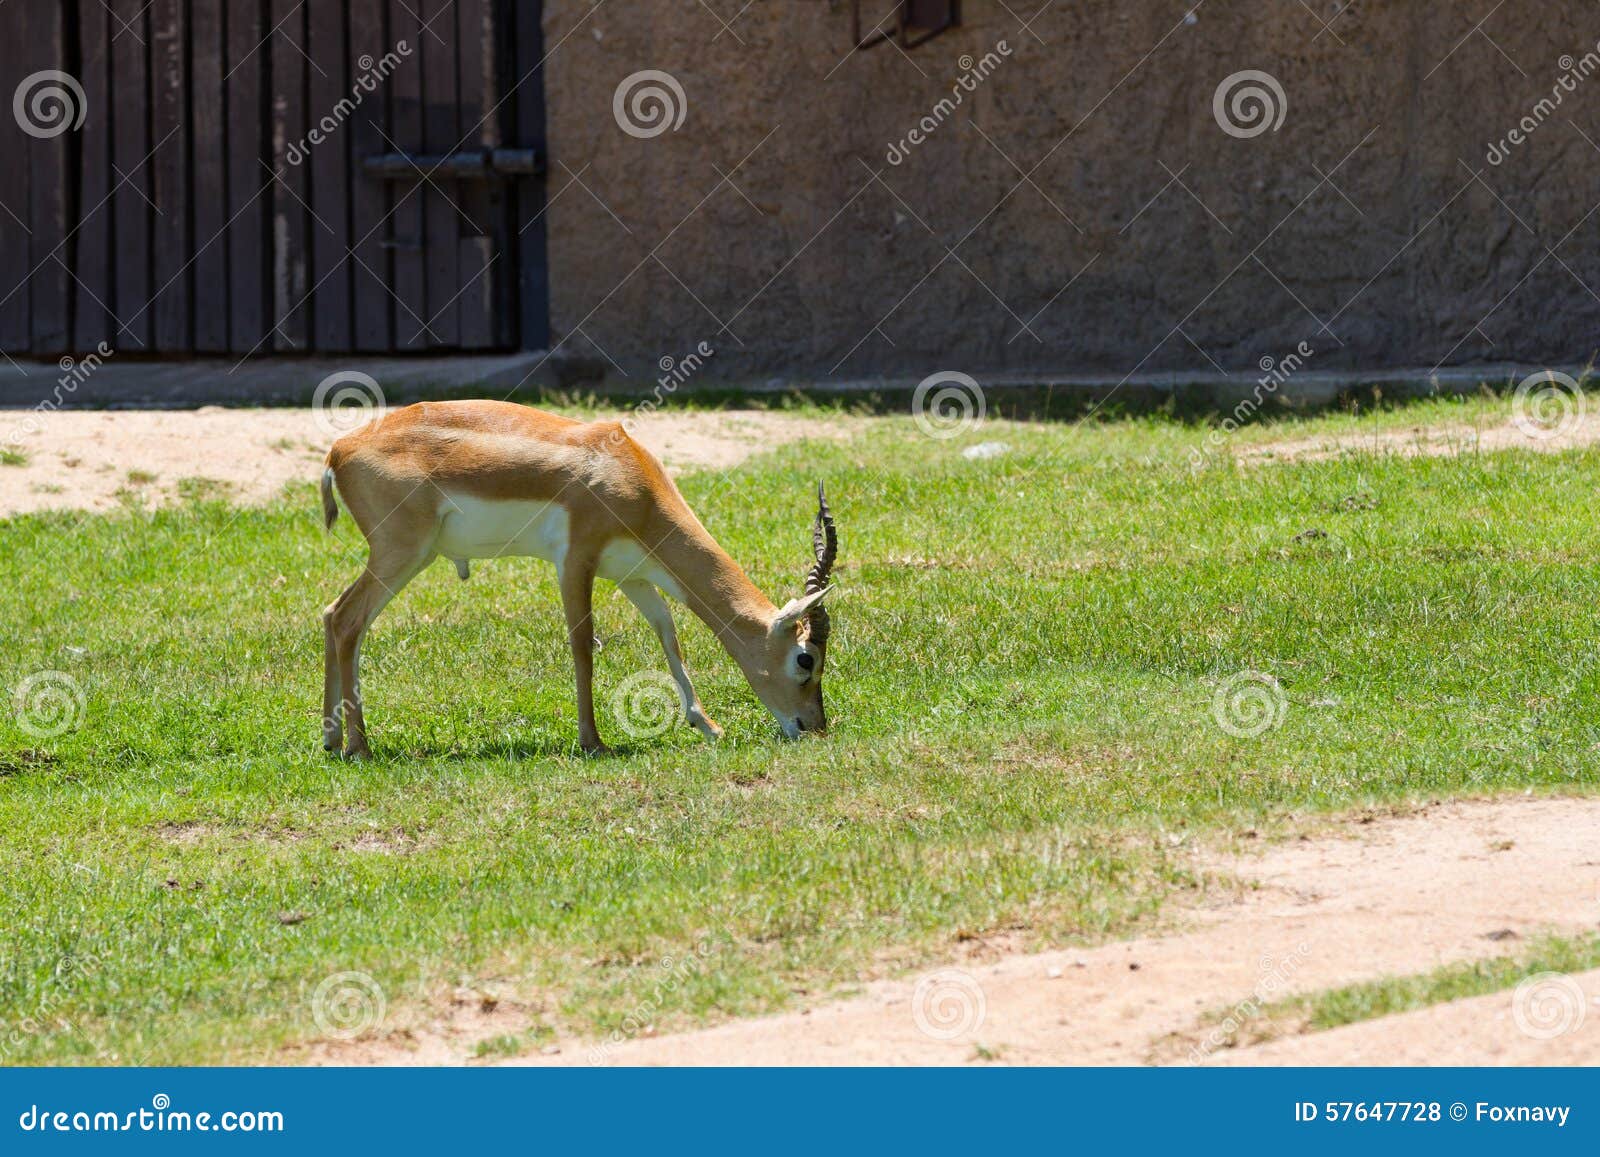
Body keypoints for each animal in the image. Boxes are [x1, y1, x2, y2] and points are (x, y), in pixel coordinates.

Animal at [318, 400, 837, 757]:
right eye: (805, 659)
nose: (814, 727)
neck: (633, 479)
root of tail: (339, 451)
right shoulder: (575, 561)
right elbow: (584, 644)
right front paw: (593, 740)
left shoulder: (634, 576)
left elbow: (669, 635)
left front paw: (706, 724)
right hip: (403, 554)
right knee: (347, 621)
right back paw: (360, 747)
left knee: (330, 614)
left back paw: (331, 739)